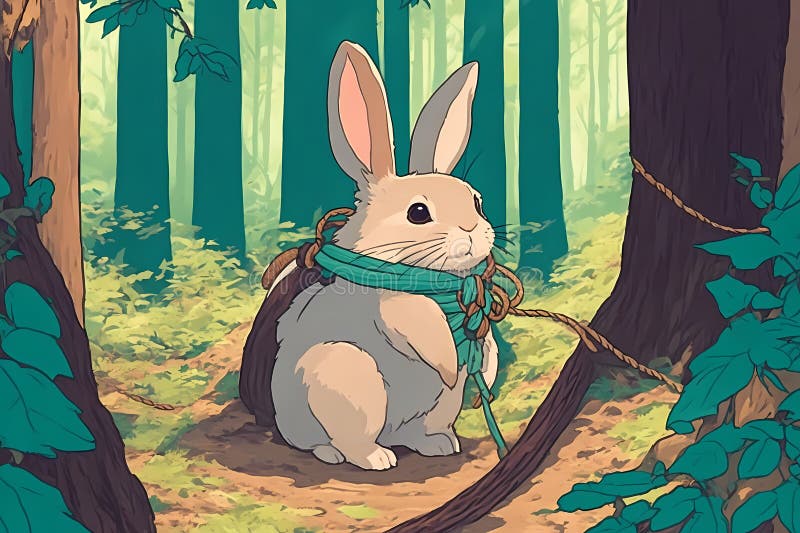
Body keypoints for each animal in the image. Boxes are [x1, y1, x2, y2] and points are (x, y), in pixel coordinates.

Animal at [271, 40, 498, 471]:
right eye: (418, 213)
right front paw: (448, 363)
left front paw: (489, 370)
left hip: (436, 409)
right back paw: (370, 457)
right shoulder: (393, 306)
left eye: (477, 201)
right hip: (349, 377)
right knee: (341, 442)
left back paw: (440, 444)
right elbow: (418, 325)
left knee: (417, 431)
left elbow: (487, 341)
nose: (473, 233)